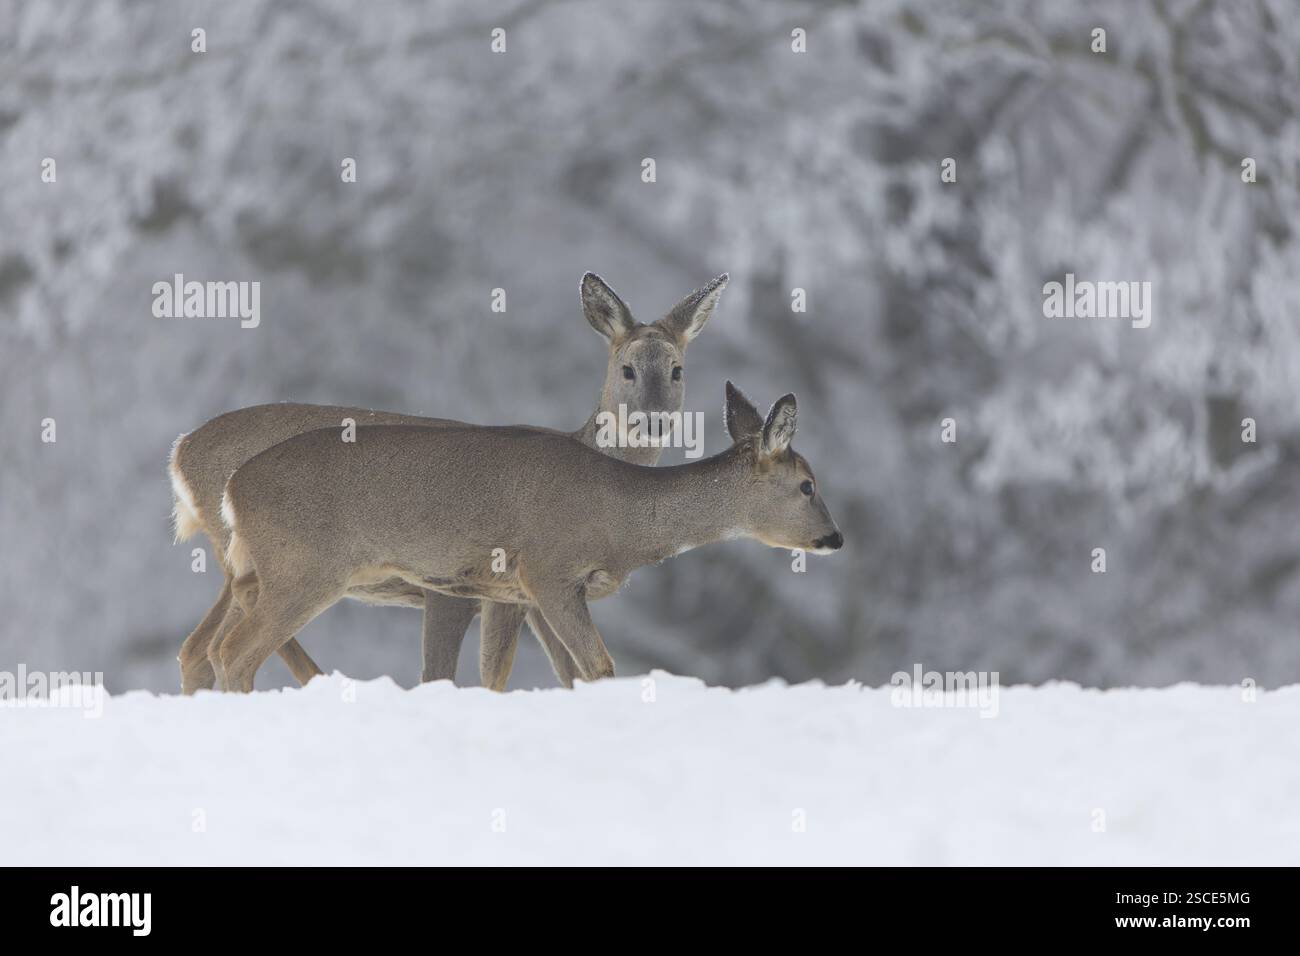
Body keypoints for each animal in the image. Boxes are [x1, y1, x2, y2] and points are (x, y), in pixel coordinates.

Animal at [169, 272, 727, 694]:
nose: (653, 421)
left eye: (677, 370)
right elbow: (481, 674)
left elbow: (563, 673)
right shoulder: (476, 588)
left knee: (197, 649)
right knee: (227, 646)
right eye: (627, 368)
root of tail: (181, 451)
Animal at [214, 383, 843, 692]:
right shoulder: (548, 569)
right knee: (236, 652)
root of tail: (233, 486)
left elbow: (523, 673)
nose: (835, 538)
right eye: (808, 485)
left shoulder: (512, 592)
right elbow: (599, 667)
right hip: (306, 567)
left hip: (257, 572)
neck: (624, 517)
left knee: (219, 647)